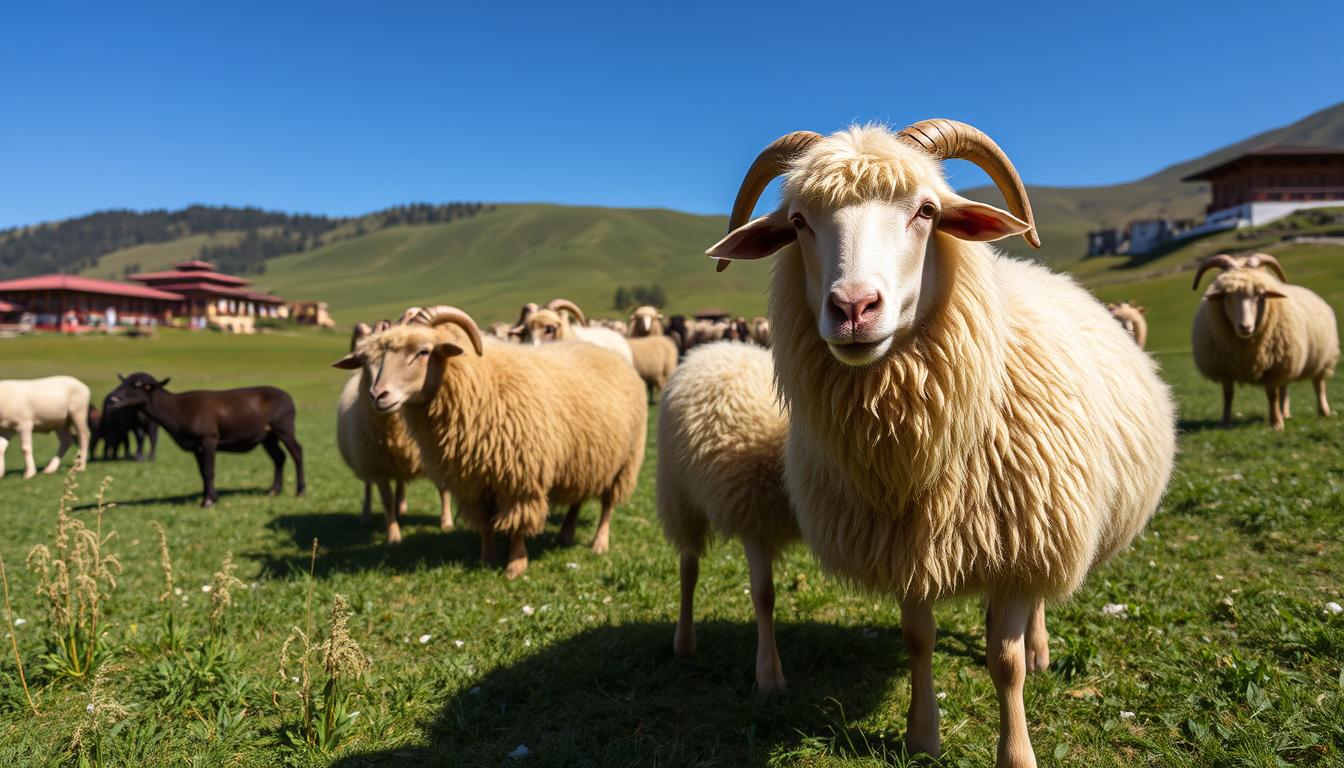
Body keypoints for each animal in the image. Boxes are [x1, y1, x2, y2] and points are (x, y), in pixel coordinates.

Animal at [337, 321, 453, 544]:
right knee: (368, 485)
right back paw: (367, 515)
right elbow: (386, 501)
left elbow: (443, 488)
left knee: (400, 481)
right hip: (366, 460)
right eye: (363, 362)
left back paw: (402, 507)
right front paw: (394, 537)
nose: (377, 395)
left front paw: (447, 523)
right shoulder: (378, 468)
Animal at [657, 341, 796, 691]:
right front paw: (769, 673)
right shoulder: (751, 513)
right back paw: (684, 641)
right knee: (688, 570)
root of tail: (717, 346)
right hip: (681, 498)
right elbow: (764, 594)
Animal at [706, 120, 1176, 767]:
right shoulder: (905, 548)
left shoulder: (1021, 541)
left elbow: (1005, 663)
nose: (853, 307)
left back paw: (1040, 649)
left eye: (926, 211)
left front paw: (1017, 752)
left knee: (1037, 606)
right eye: (799, 221)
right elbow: (918, 640)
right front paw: (922, 736)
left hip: (1050, 523)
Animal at [1191, 252, 1338, 430]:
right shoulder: (1225, 369)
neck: (1246, 346)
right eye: (1226, 295)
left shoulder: (1274, 366)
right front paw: (1225, 423)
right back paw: (1285, 413)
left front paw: (1276, 424)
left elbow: (1272, 394)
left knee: (1318, 385)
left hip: (1321, 358)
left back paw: (1323, 412)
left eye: (1260, 295)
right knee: (1284, 387)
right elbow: (1228, 395)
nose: (1245, 327)